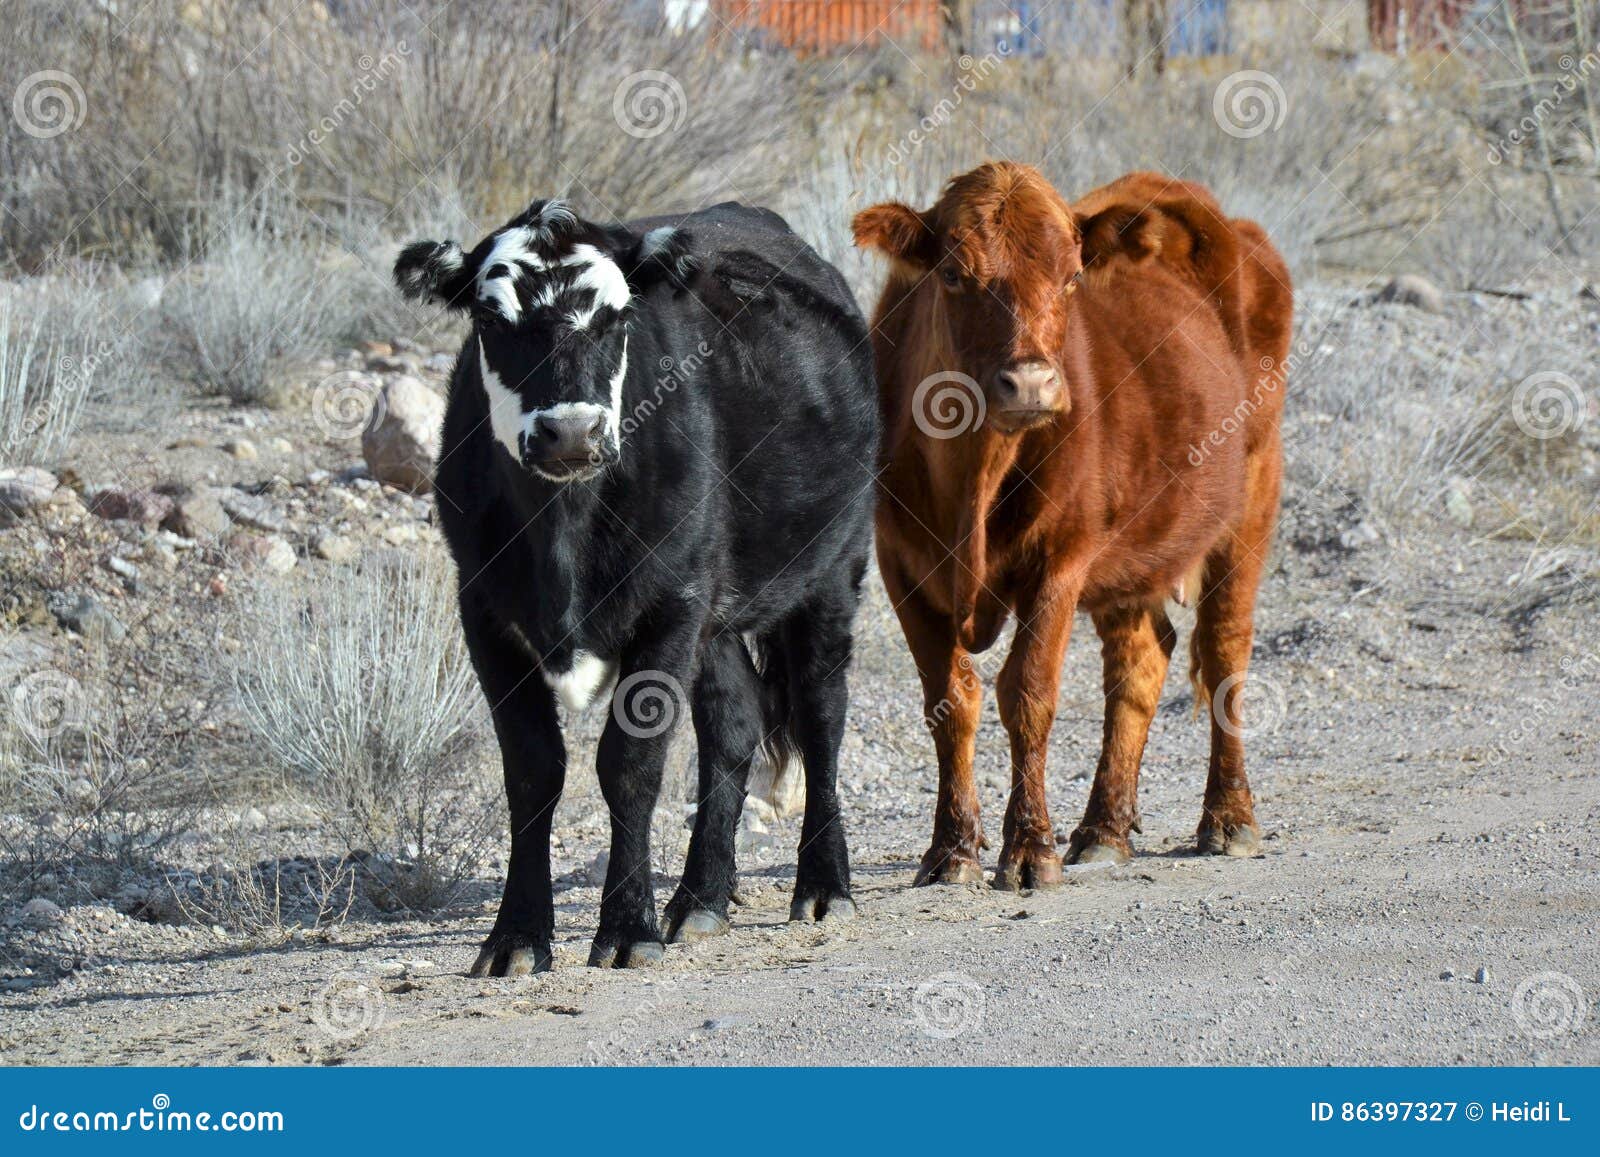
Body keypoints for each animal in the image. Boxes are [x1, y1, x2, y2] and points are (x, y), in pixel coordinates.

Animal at [394, 198, 878, 972]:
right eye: (492, 320)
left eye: (617, 319)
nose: (570, 432)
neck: (564, 534)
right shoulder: (484, 610)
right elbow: (532, 768)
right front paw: (516, 936)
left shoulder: (668, 607)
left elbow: (630, 765)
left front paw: (626, 927)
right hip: (715, 616)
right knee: (734, 722)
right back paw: (702, 897)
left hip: (832, 571)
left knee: (821, 714)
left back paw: (825, 885)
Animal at [852, 164, 1291, 888]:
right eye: (955, 275)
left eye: (1071, 277)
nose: (1031, 384)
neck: (972, 475)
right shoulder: (900, 564)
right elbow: (951, 700)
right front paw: (951, 850)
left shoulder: (1061, 556)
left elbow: (1027, 693)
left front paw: (1029, 848)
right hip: (1138, 550)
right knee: (1140, 661)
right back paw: (1104, 828)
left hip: (1252, 494)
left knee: (1225, 647)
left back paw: (1229, 818)